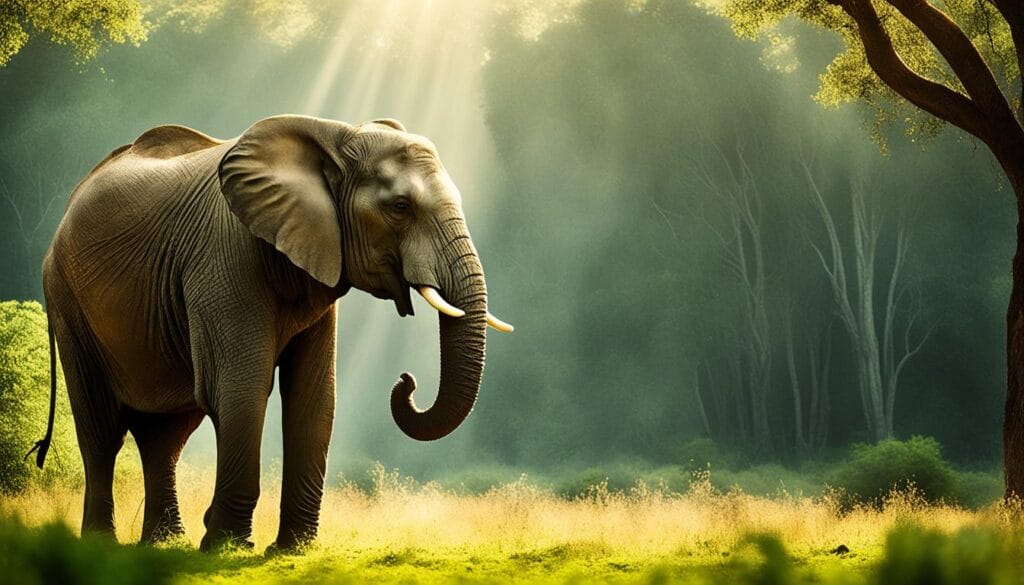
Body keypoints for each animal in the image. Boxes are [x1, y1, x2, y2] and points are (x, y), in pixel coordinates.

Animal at [35, 115, 512, 551]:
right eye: (399, 207)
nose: (406, 381)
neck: (336, 135)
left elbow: (314, 396)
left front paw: (292, 549)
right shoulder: (224, 257)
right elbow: (242, 387)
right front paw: (226, 546)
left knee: (165, 436)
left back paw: (163, 545)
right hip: (67, 301)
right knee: (101, 430)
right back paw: (104, 545)